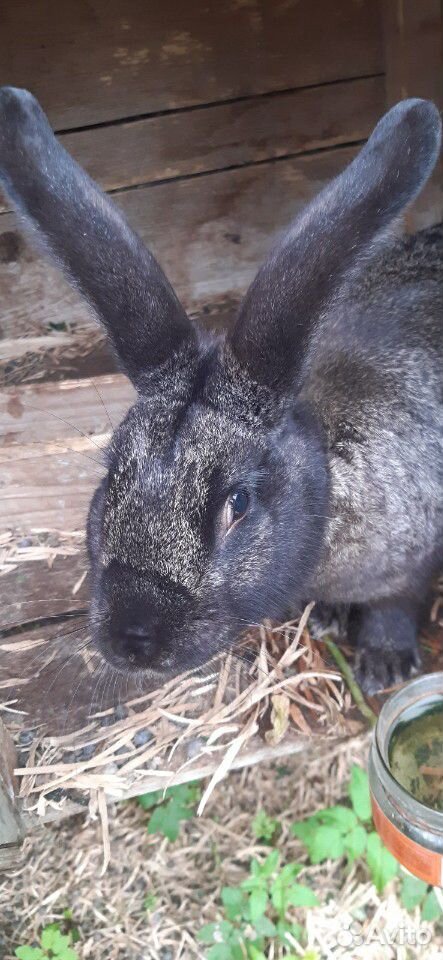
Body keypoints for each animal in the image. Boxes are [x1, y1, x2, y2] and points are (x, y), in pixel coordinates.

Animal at [0, 86, 442, 695]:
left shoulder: (414, 558)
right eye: (110, 480)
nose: (132, 643)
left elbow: (397, 605)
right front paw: (327, 619)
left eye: (239, 503)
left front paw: (381, 666)